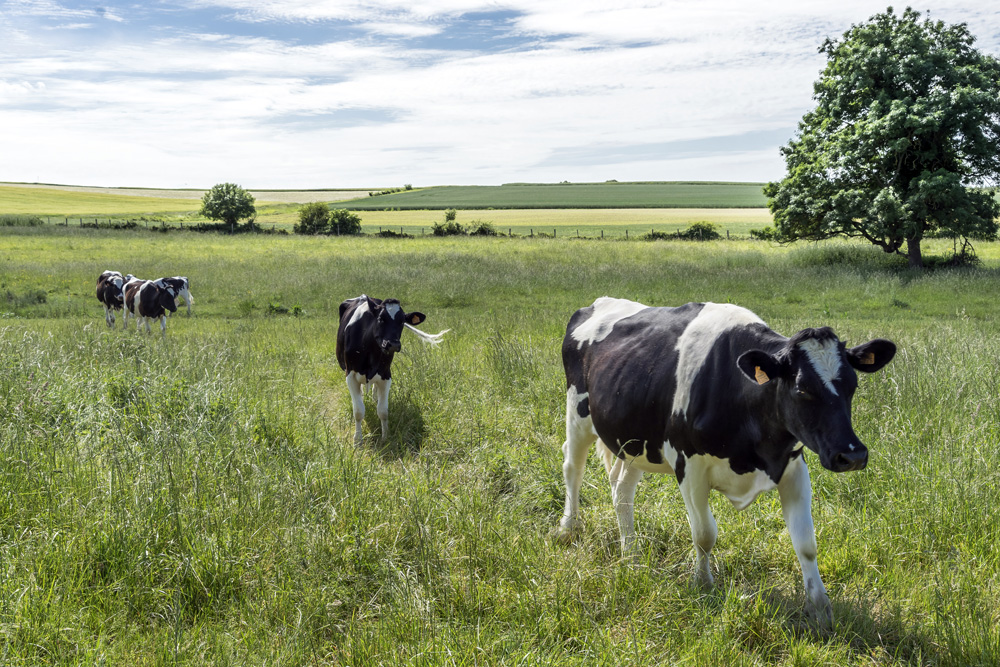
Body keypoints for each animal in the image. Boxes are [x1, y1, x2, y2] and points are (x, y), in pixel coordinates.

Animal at [336, 295, 448, 445]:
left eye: (402, 321)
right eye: (381, 319)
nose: (393, 344)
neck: (370, 351)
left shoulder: (385, 374)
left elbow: (383, 411)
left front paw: (385, 437)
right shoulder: (350, 375)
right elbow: (358, 411)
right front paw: (358, 440)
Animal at [555, 297, 896, 626]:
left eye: (853, 385)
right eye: (802, 389)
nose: (852, 455)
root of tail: (595, 304)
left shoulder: (793, 466)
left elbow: (806, 543)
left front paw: (821, 607)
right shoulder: (688, 465)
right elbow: (704, 534)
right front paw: (703, 584)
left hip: (636, 441)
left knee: (621, 489)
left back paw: (631, 554)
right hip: (578, 412)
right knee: (572, 467)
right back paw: (568, 527)